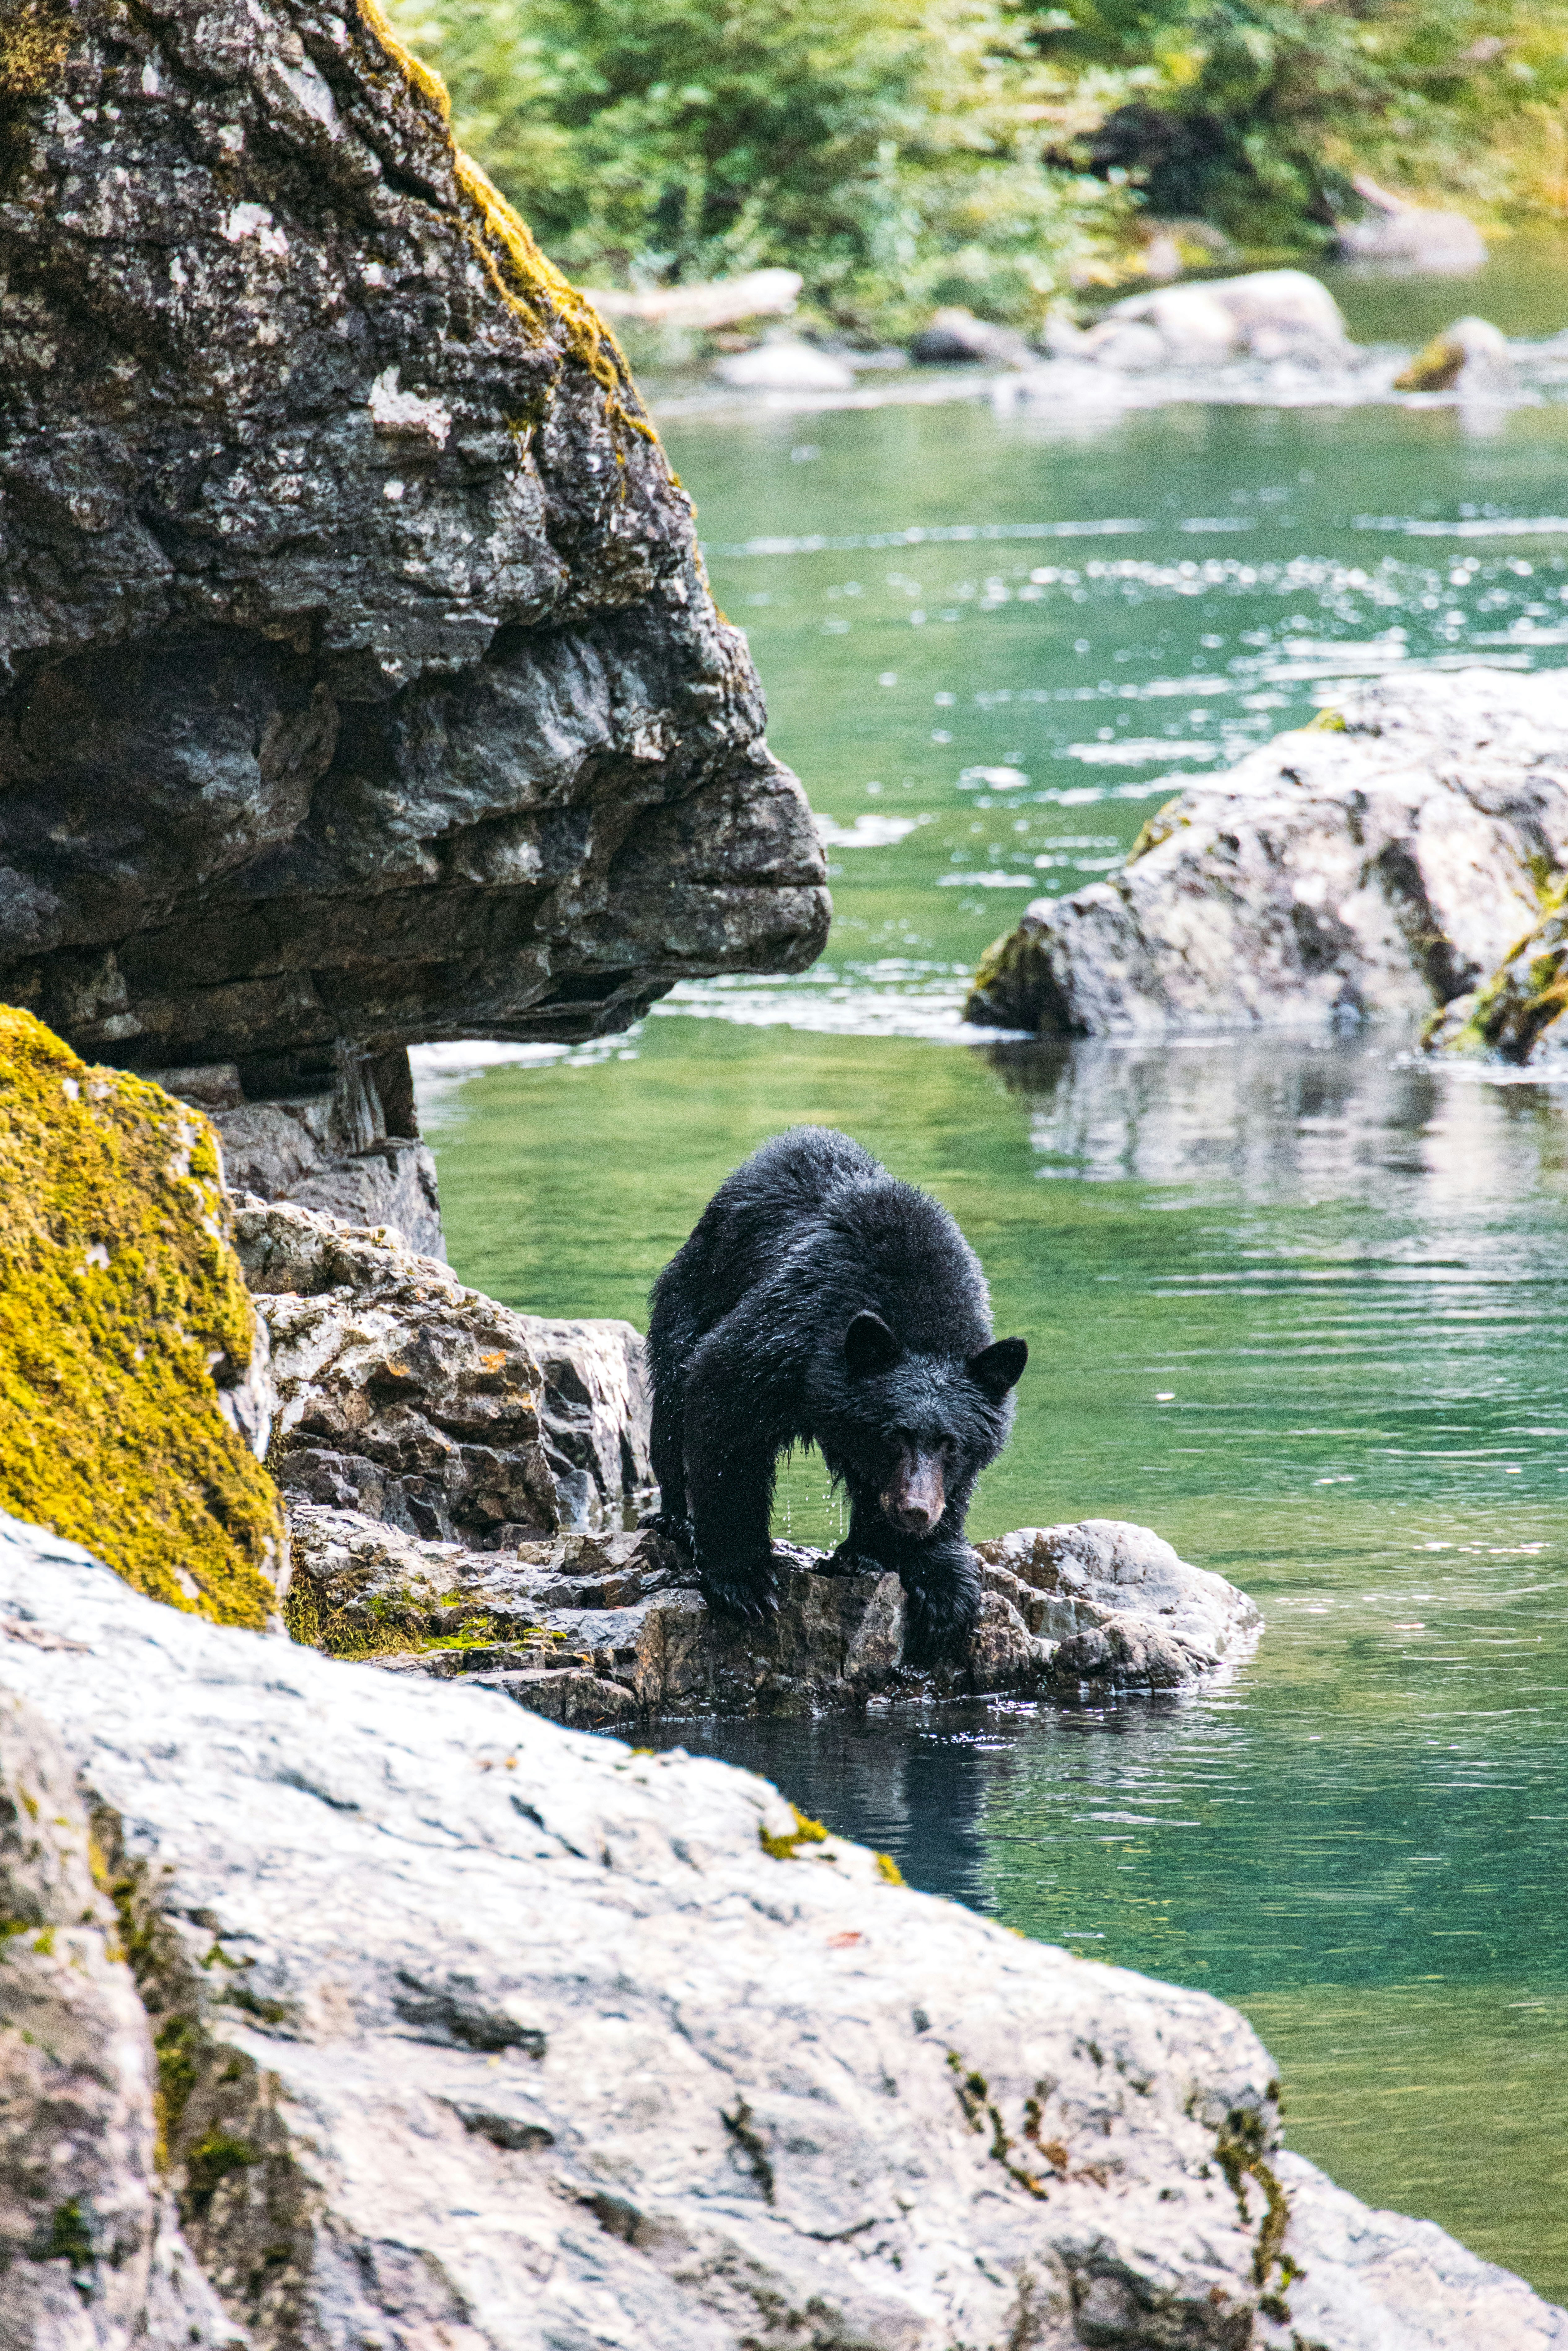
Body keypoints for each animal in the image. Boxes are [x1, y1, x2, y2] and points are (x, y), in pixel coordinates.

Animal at [646, 1126, 1027, 1659]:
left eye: (951, 1443)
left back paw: (862, 1553)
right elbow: (723, 1407)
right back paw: (678, 1520)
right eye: (893, 1435)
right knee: (671, 1405)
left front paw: (944, 1584)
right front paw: (743, 1580)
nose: (915, 1511)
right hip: (689, 1294)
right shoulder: (789, 1329)